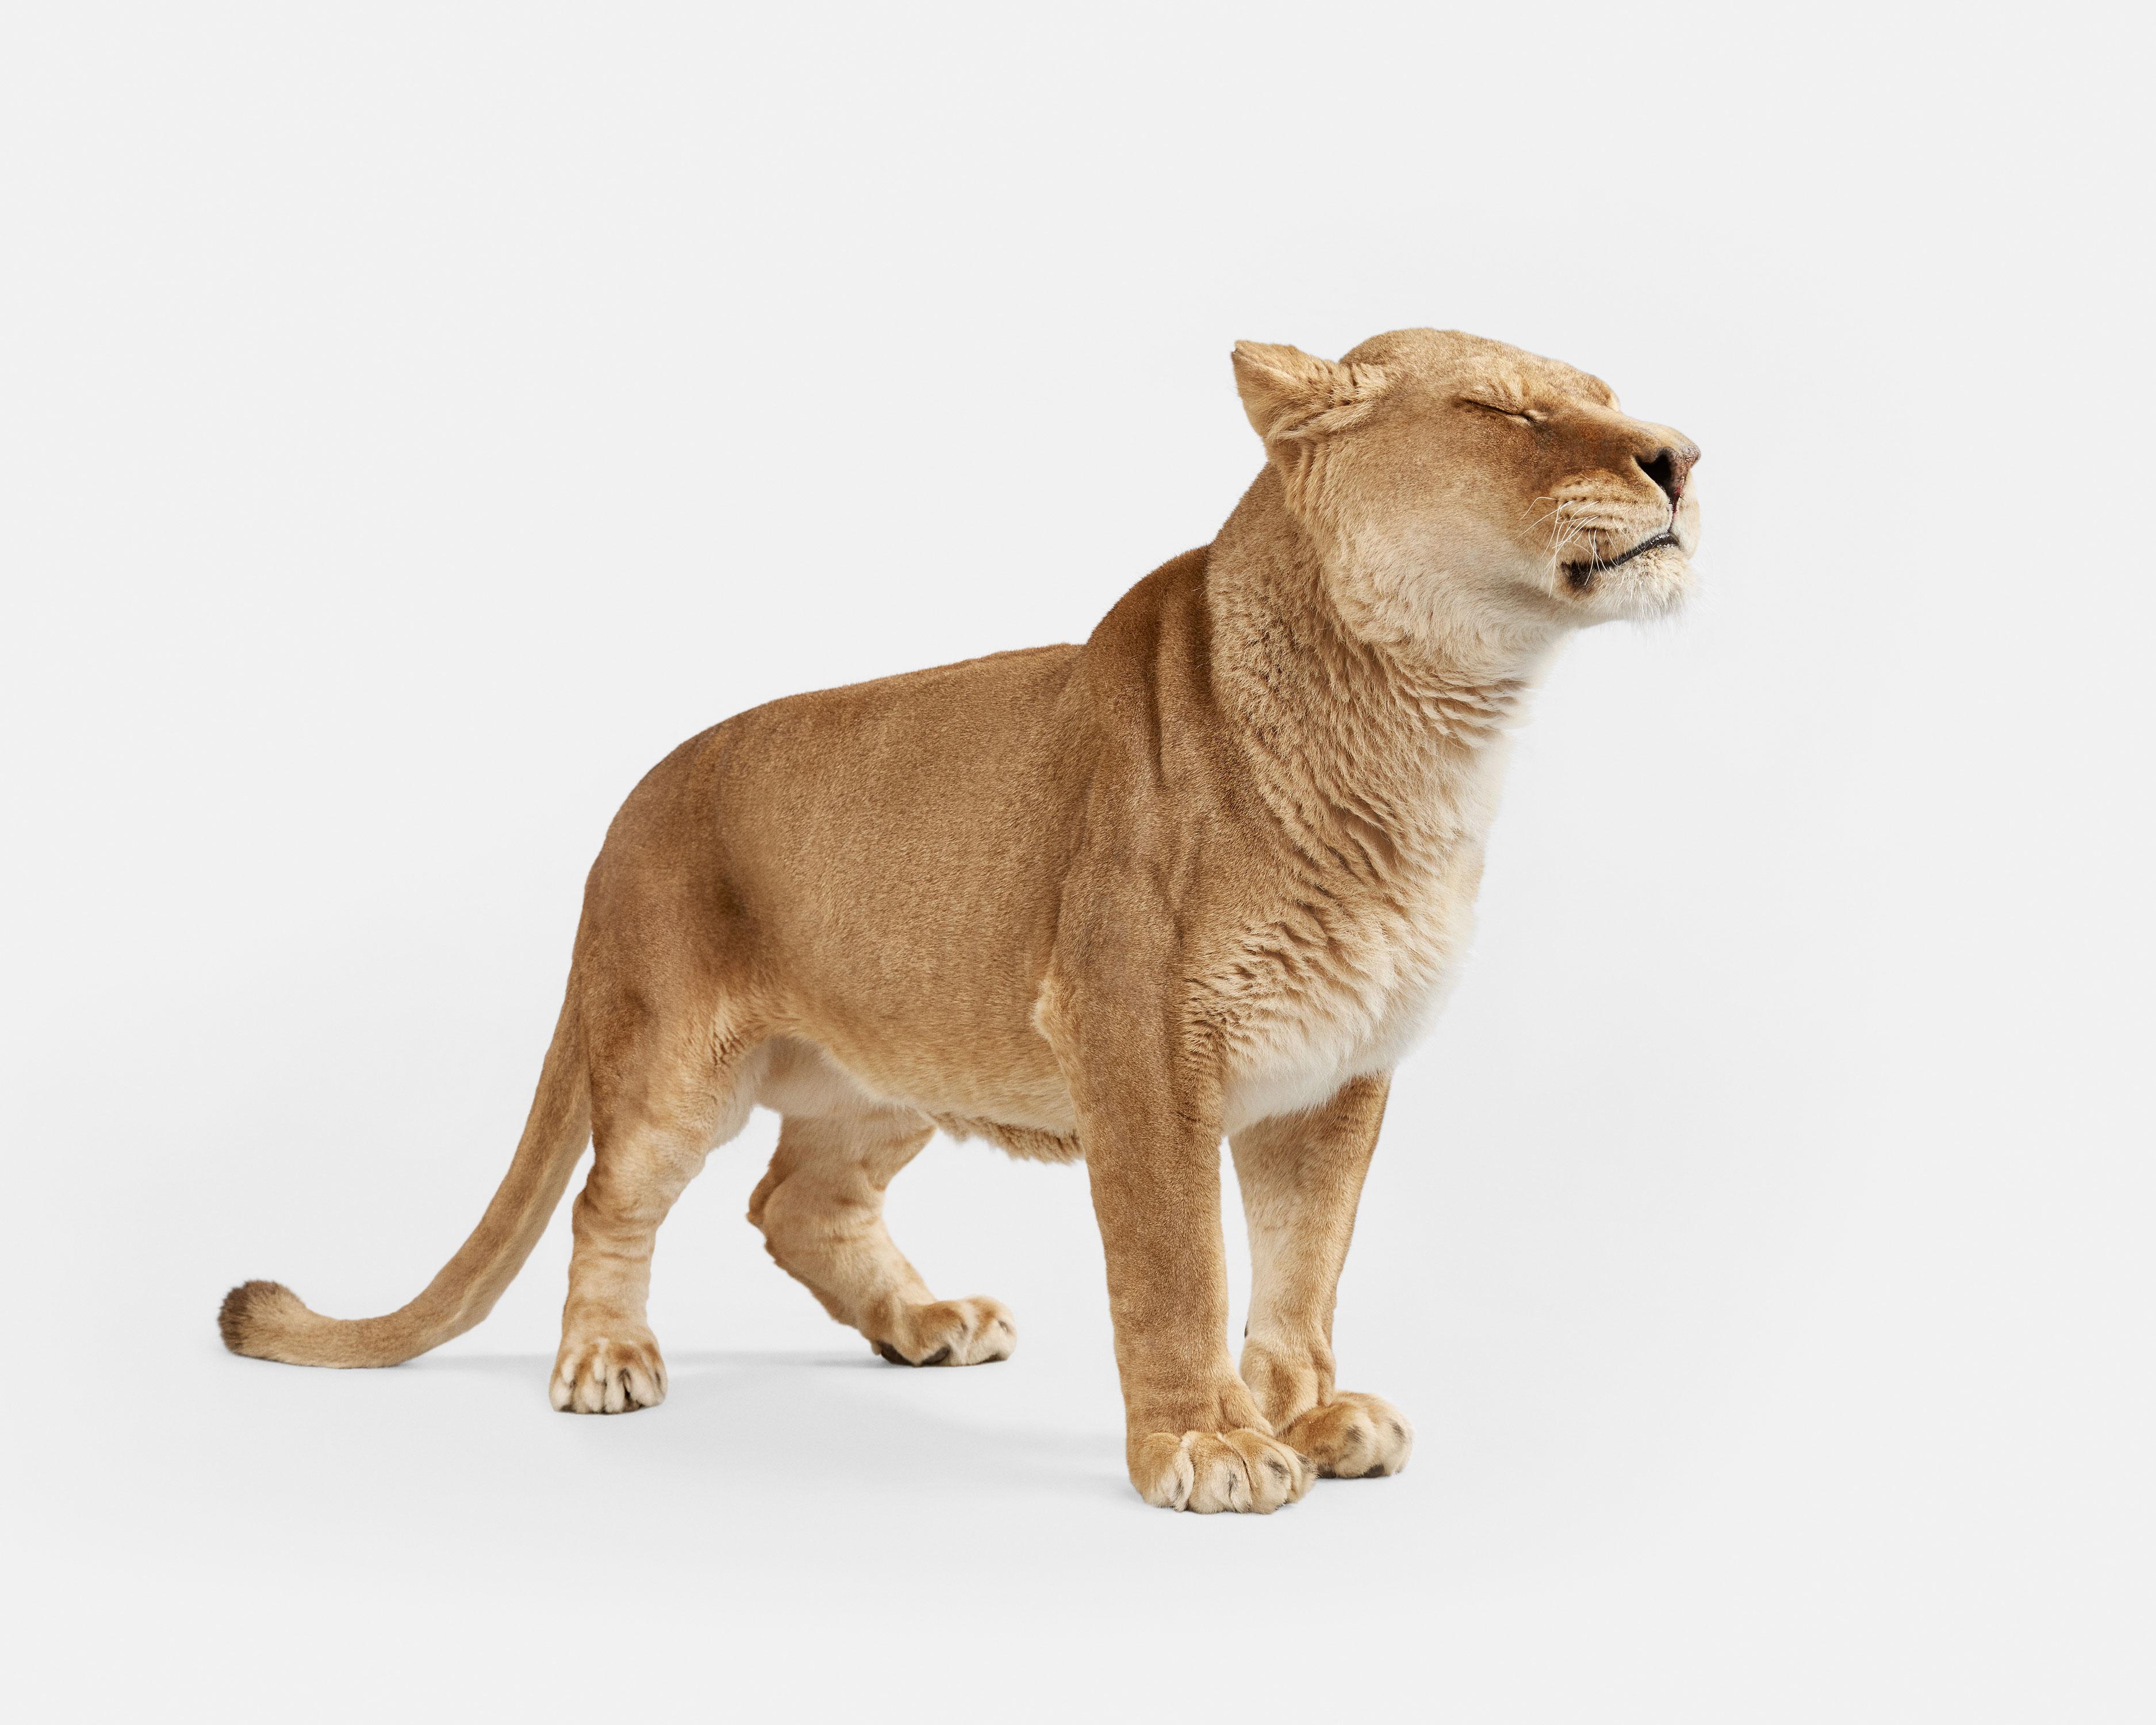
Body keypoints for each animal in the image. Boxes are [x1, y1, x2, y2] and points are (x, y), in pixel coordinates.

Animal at [220, 328, 1701, 1514]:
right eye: (1509, 411)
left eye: (1606, 398)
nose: (1682, 456)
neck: (1431, 732)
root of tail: (632, 803)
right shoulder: (1139, 1047)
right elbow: (1180, 1266)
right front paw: (1209, 1445)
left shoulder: (1339, 1072)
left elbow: (1301, 1270)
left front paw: (1310, 1417)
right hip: (669, 1060)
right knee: (611, 1199)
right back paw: (604, 1361)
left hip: (900, 1061)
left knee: (795, 1200)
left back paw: (924, 1323)